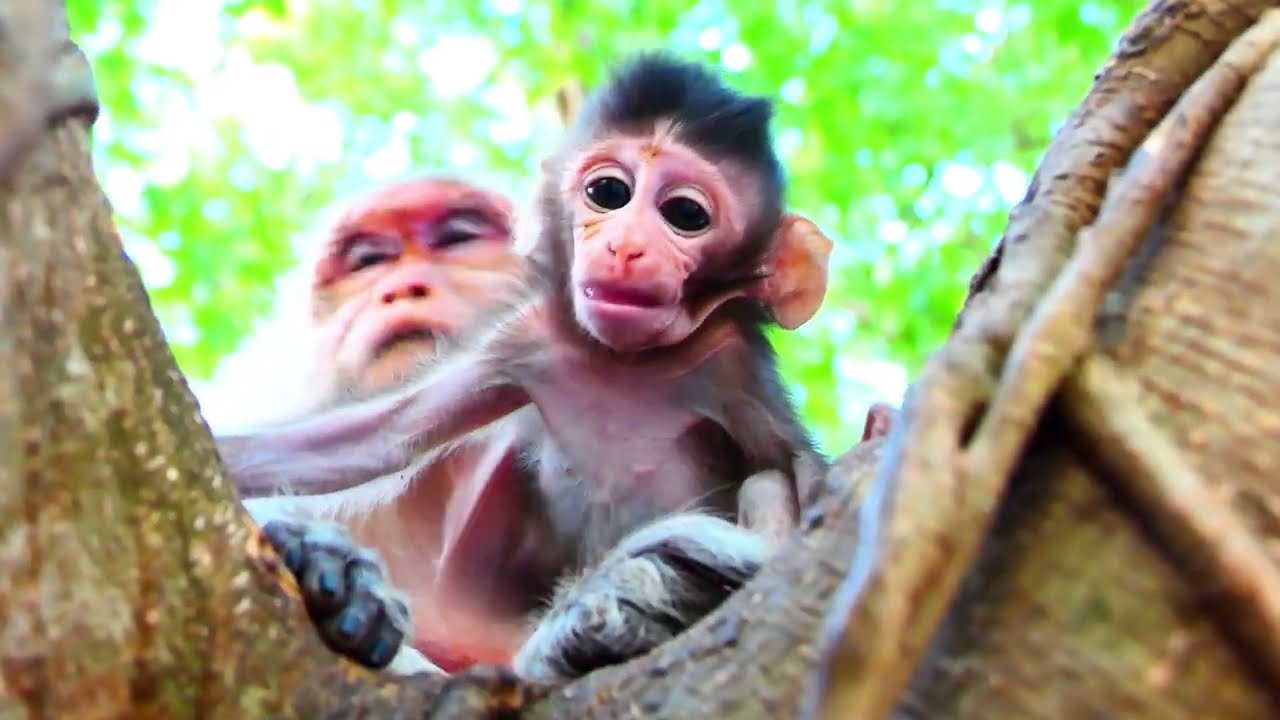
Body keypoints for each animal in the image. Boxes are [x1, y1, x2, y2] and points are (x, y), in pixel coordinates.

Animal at [219, 51, 836, 683]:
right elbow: (376, 439)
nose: (625, 246)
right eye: (608, 192)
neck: (623, 360)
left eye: (685, 213)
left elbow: (794, 468)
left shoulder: (732, 363)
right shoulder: (527, 338)